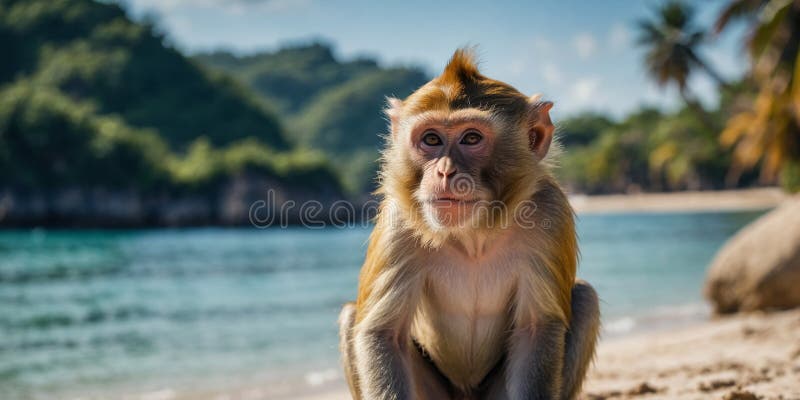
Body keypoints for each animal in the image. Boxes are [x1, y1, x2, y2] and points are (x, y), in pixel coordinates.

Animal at [338, 48, 600, 400]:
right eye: (431, 139)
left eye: (472, 138)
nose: (445, 171)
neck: (474, 233)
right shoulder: (398, 221)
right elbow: (384, 334)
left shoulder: (550, 210)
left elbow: (536, 329)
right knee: (351, 315)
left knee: (585, 299)